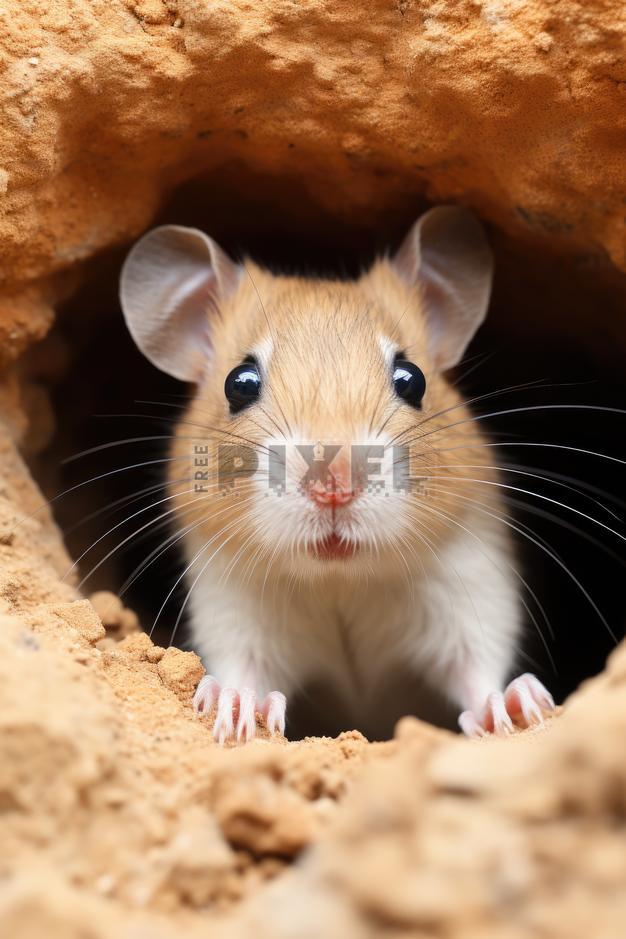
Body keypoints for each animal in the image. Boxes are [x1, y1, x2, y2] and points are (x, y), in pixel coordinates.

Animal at [119, 206, 555, 742]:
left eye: (412, 378)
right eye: (239, 384)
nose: (334, 486)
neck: (338, 578)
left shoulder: (470, 577)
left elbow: (476, 667)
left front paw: (515, 707)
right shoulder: (233, 598)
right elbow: (243, 666)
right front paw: (233, 705)